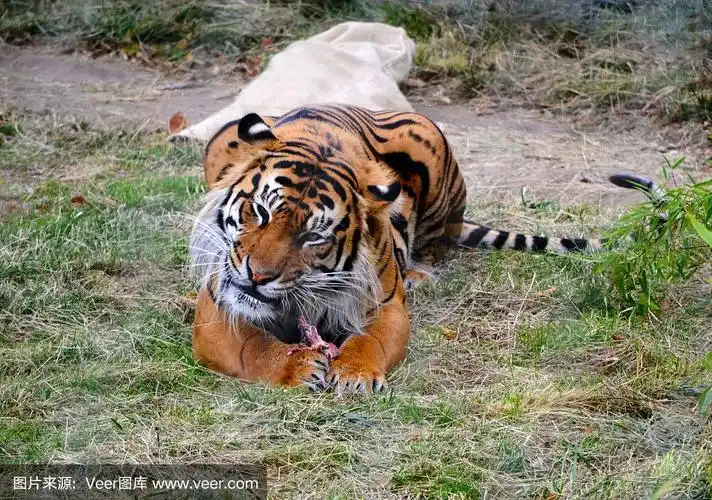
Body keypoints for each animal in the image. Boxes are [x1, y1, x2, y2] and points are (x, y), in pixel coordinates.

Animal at [189, 104, 656, 393]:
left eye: (312, 237)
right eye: (261, 212)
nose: (258, 276)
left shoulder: (385, 306)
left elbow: (370, 342)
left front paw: (355, 375)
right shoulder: (217, 309)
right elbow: (256, 348)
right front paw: (297, 366)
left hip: (430, 142)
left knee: (439, 242)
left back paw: (419, 272)